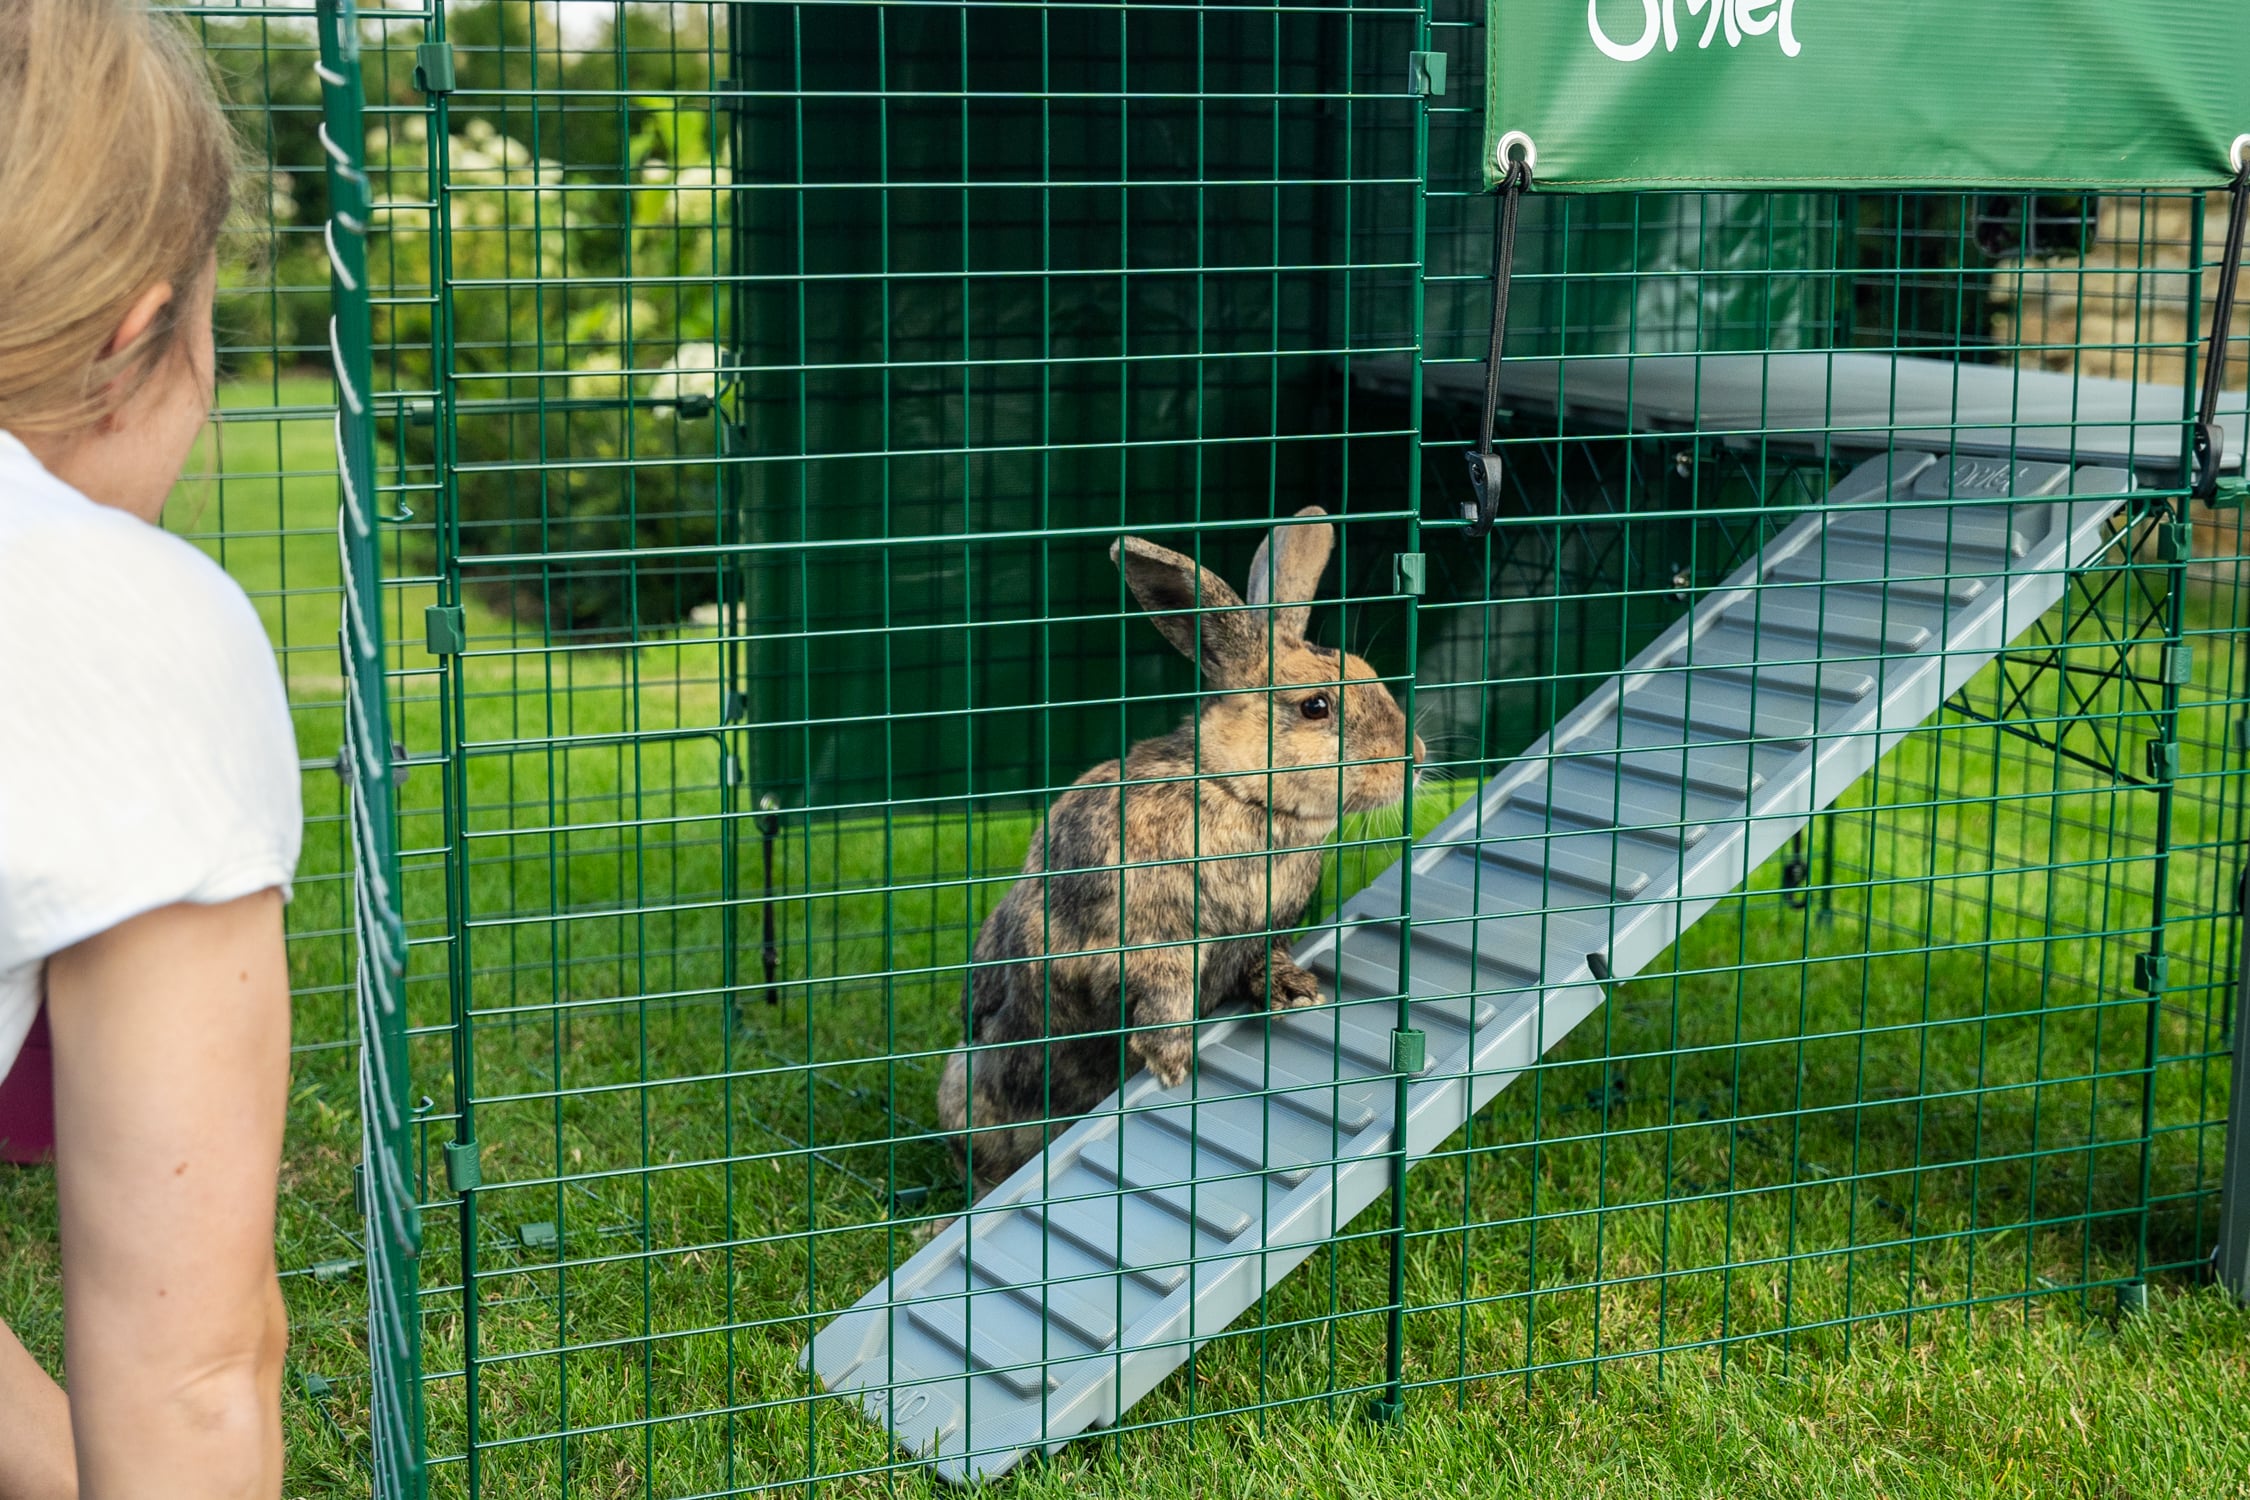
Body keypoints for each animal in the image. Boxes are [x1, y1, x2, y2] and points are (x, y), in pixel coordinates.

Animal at [936, 505, 1425, 1194]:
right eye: (1316, 706)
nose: (1417, 761)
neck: (1239, 791)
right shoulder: (1147, 942)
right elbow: (1162, 999)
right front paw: (1173, 1066)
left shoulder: (1264, 932)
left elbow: (1263, 960)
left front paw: (1296, 993)